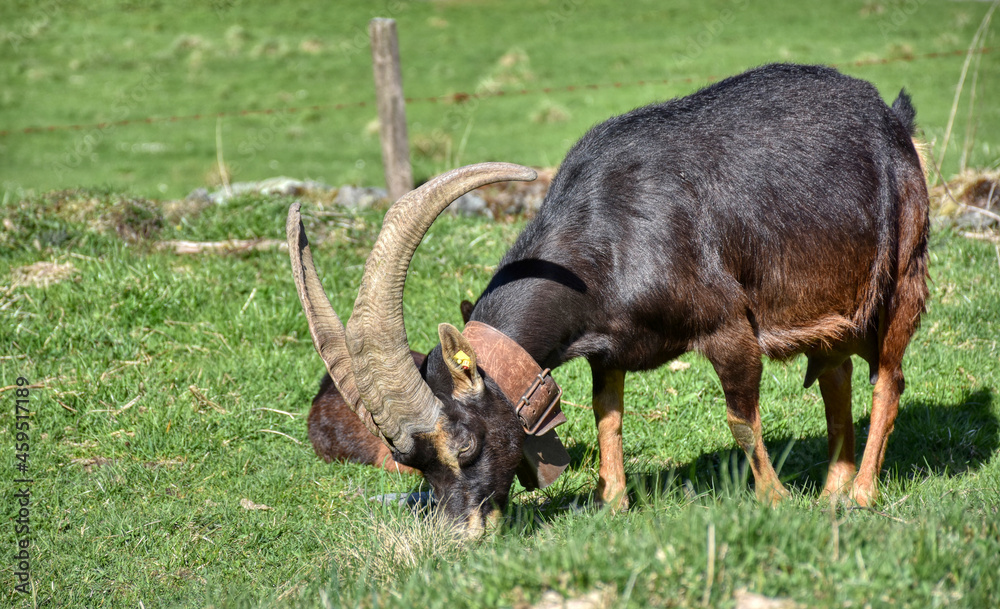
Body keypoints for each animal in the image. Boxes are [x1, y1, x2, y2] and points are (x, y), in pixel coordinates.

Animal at [288, 63, 929, 534]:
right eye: (411, 464)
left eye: (465, 446)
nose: (461, 533)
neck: (610, 230)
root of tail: (890, 114)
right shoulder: (608, 347)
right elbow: (607, 414)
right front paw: (612, 503)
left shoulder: (728, 326)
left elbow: (741, 419)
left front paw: (773, 501)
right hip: (832, 308)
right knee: (836, 374)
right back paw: (832, 490)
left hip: (903, 273)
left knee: (889, 379)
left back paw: (862, 494)